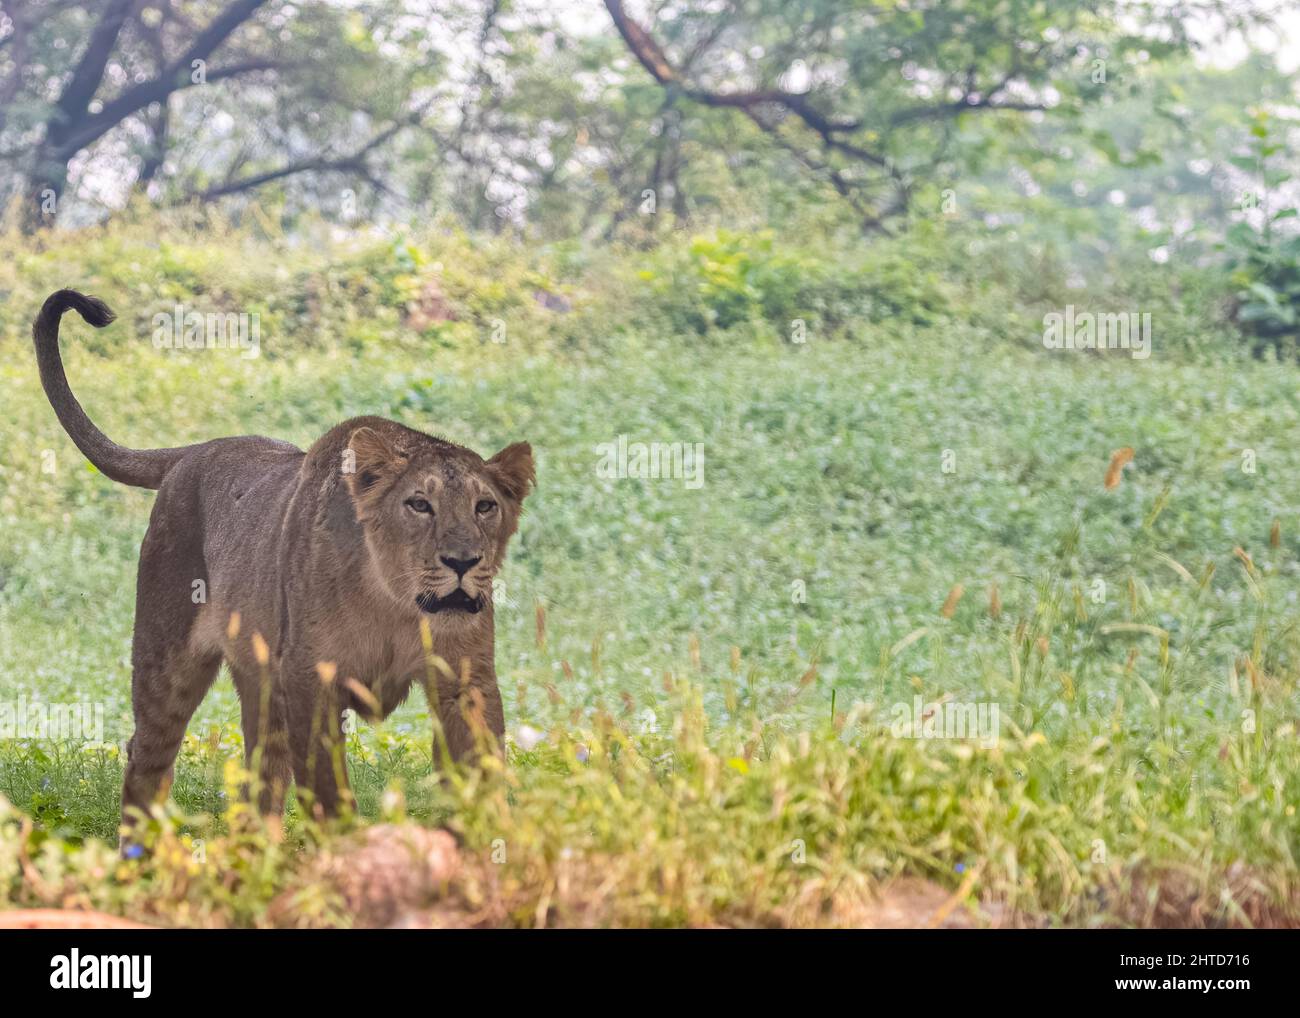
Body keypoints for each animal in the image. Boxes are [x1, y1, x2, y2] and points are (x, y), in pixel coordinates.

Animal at [33, 290, 534, 830]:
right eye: (419, 504)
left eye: (485, 506)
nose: (463, 560)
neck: (395, 601)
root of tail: (194, 451)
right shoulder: (311, 677)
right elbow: (327, 786)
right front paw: (346, 844)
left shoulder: (464, 677)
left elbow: (479, 770)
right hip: (165, 661)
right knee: (146, 758)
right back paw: (140, 846)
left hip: (259, 681)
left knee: (260, 778)